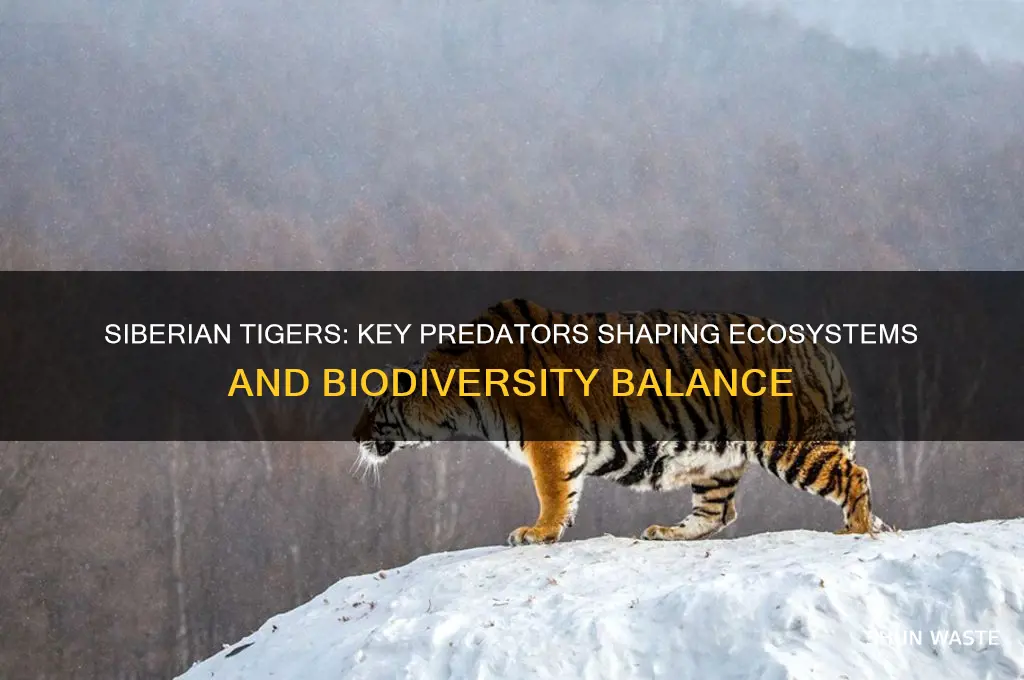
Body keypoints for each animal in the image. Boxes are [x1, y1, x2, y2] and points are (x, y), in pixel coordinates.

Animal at [353, 298, 892, 546]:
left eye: (373, 406)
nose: (354, 436)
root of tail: (814, 345)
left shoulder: (550, 438)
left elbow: (552, 490)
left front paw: (537, 532)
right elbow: (565, 490)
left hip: (788, 438)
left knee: (853, 475)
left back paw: (855, 530)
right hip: (716, 460)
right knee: (718, 512)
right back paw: (667, 532)